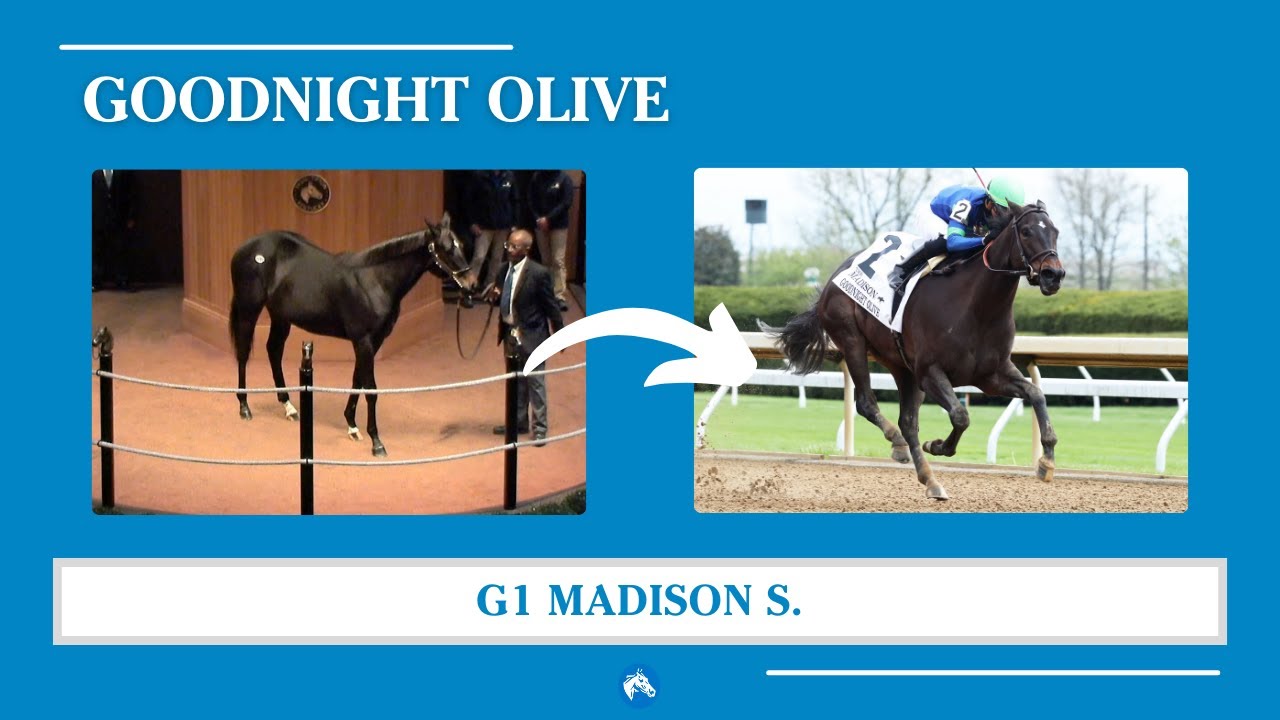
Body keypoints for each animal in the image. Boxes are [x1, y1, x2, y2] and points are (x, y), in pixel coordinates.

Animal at [228, 212, 474, 457]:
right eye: (446, 249)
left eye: (461, 245)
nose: (472, 285)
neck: (375, 281)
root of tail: (244, 248)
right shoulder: (363, 340)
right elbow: (371, 389)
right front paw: (376, 441)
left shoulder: (373, 341)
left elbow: (357, 380)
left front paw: (352, 426)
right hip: (249, 310)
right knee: (243, 353)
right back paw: (244, 406)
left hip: (280, 317)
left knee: (273, 350)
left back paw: (288, 406)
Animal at [766, 200, 1066, 500]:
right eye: (1026, 231)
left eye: (1056, 232)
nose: (1054, 274)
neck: (977, 307)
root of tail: (832, 279)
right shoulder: (930, 372)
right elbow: (961, 416)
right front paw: (937, 445)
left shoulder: (990, 375)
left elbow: (1036, 394)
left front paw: (1047, 460)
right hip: (852, 341)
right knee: (868, 404)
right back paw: (899, 444)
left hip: (901, 365)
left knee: (908, 422)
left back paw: (928, 478)